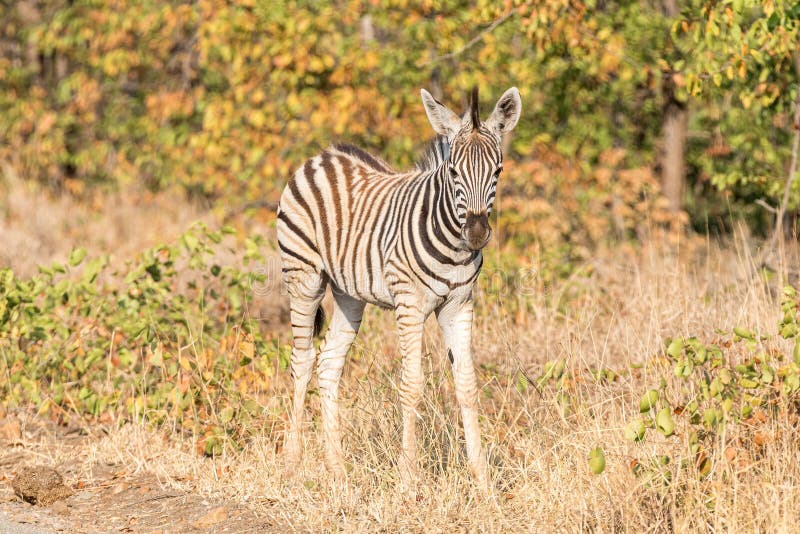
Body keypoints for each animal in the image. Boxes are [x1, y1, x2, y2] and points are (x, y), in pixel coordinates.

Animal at [277, 86, 521, 486]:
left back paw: (338, 469)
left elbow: (467, 384)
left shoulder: (459, 305)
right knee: (302, 360)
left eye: (498, 171)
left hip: (349, 294)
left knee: (328, 363)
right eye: (453, 171)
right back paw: (292, 463)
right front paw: (408, 477)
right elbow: (412, 384)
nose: (476, 233)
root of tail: (323, 156)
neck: (453, 246)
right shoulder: (410, 303)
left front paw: (482, 479)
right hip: (303, 276)